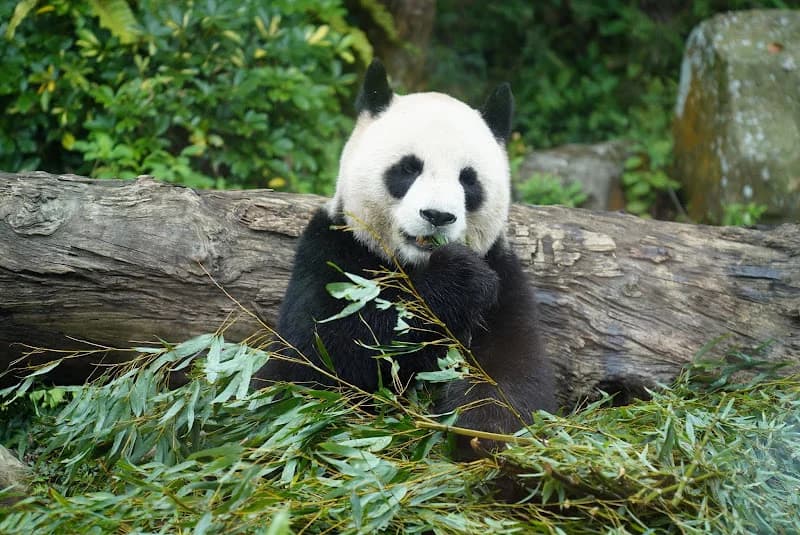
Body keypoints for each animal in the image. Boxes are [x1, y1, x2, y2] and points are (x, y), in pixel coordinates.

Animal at [256, 60, 556, 451]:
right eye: (409, 168)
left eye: (468, 179)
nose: (437, 215)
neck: (413, 263)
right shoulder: (332, 252)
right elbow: (319, 356)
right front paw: (455, 278)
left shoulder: (502, 275)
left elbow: (514, 366)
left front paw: (483, 435)